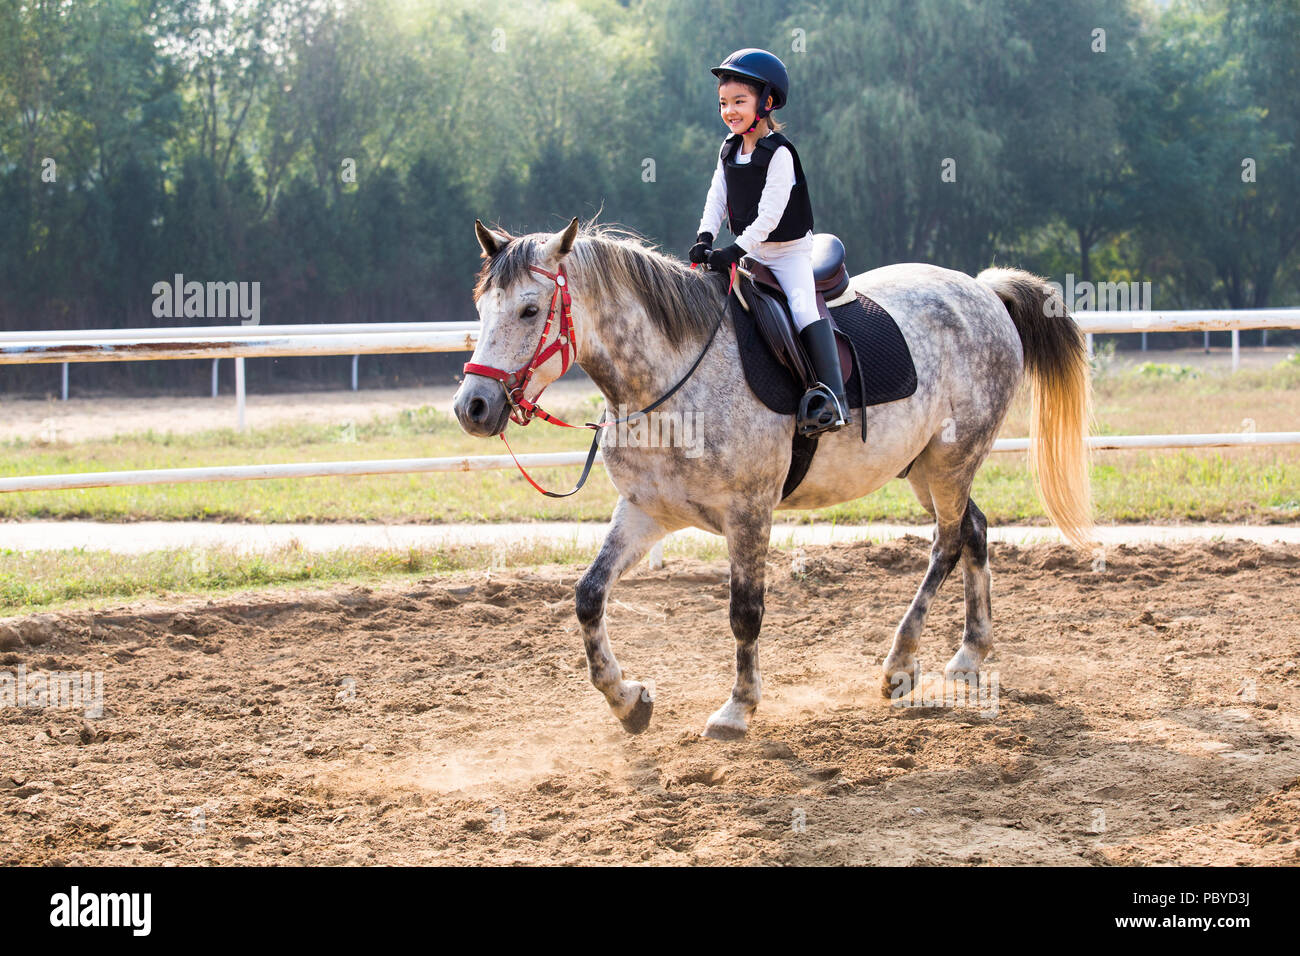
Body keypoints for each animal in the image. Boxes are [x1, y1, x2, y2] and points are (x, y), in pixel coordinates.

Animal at [454, 217, 1095, 740]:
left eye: (530, 310)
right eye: (481, 309)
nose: (473, 406)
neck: (672, 379)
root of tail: (982, 290)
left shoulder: (749, 513)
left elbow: (745, 613)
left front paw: (737, 709)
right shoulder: (645, 511)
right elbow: (589, 596)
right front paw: (627, 700)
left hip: (953, 459)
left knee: (950, 541)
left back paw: (901, 663)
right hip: (923, 467)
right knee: (975, 531)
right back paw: (968, 656)